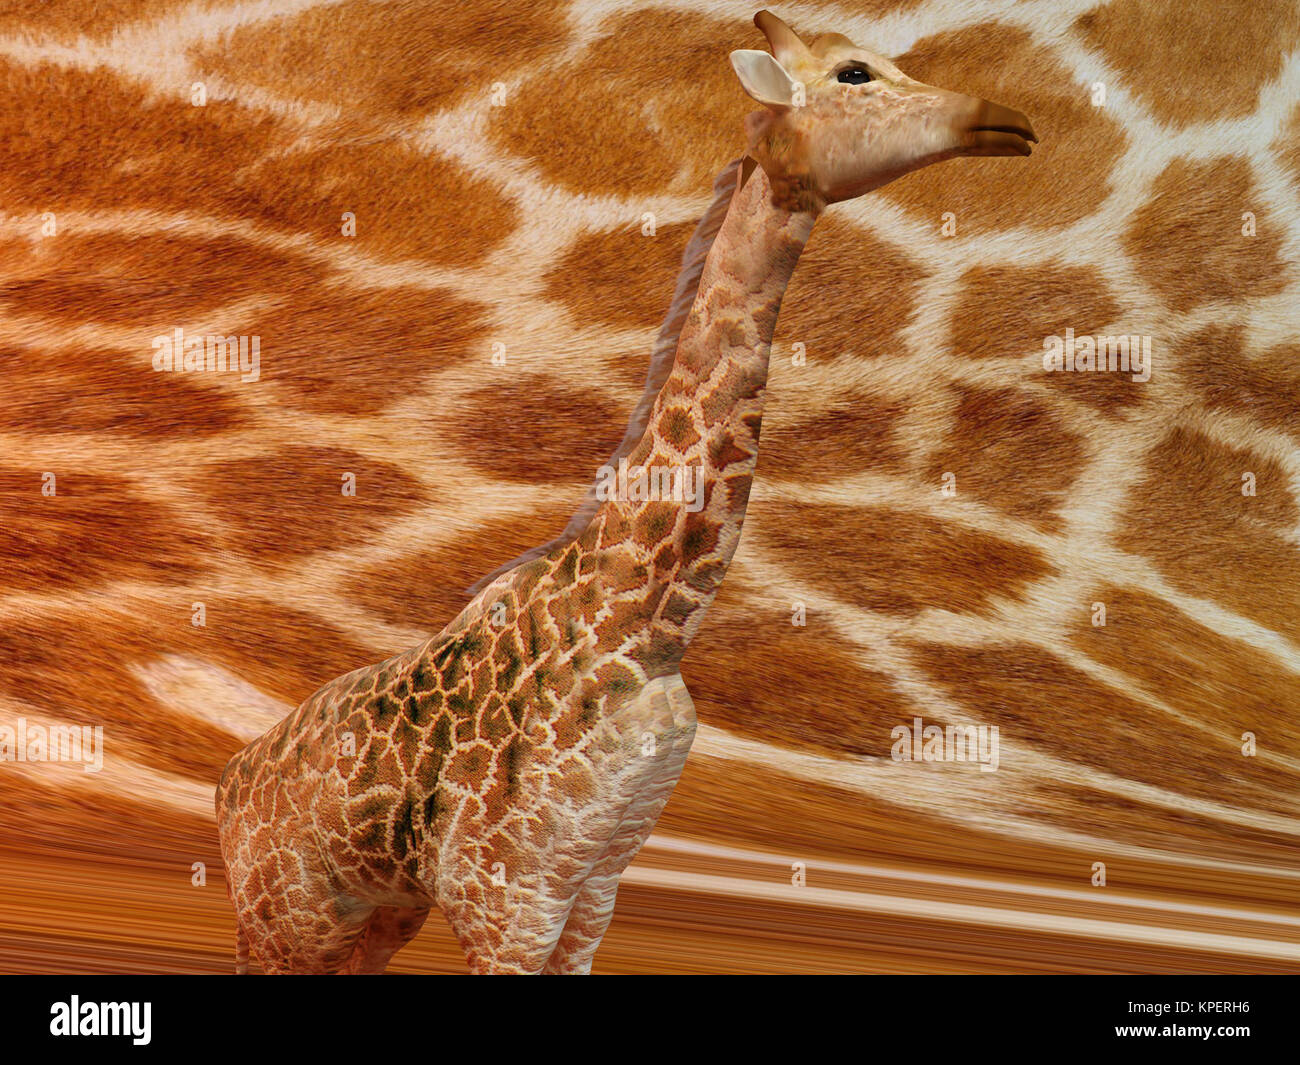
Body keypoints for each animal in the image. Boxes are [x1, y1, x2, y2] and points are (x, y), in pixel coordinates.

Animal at [214, 9, 1037, 974]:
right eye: (855, 72)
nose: (1009, 121)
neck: (649, 625)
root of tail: (227, 782)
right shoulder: (506, 890)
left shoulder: (592, 885)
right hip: (287, 911)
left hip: (369, 911)